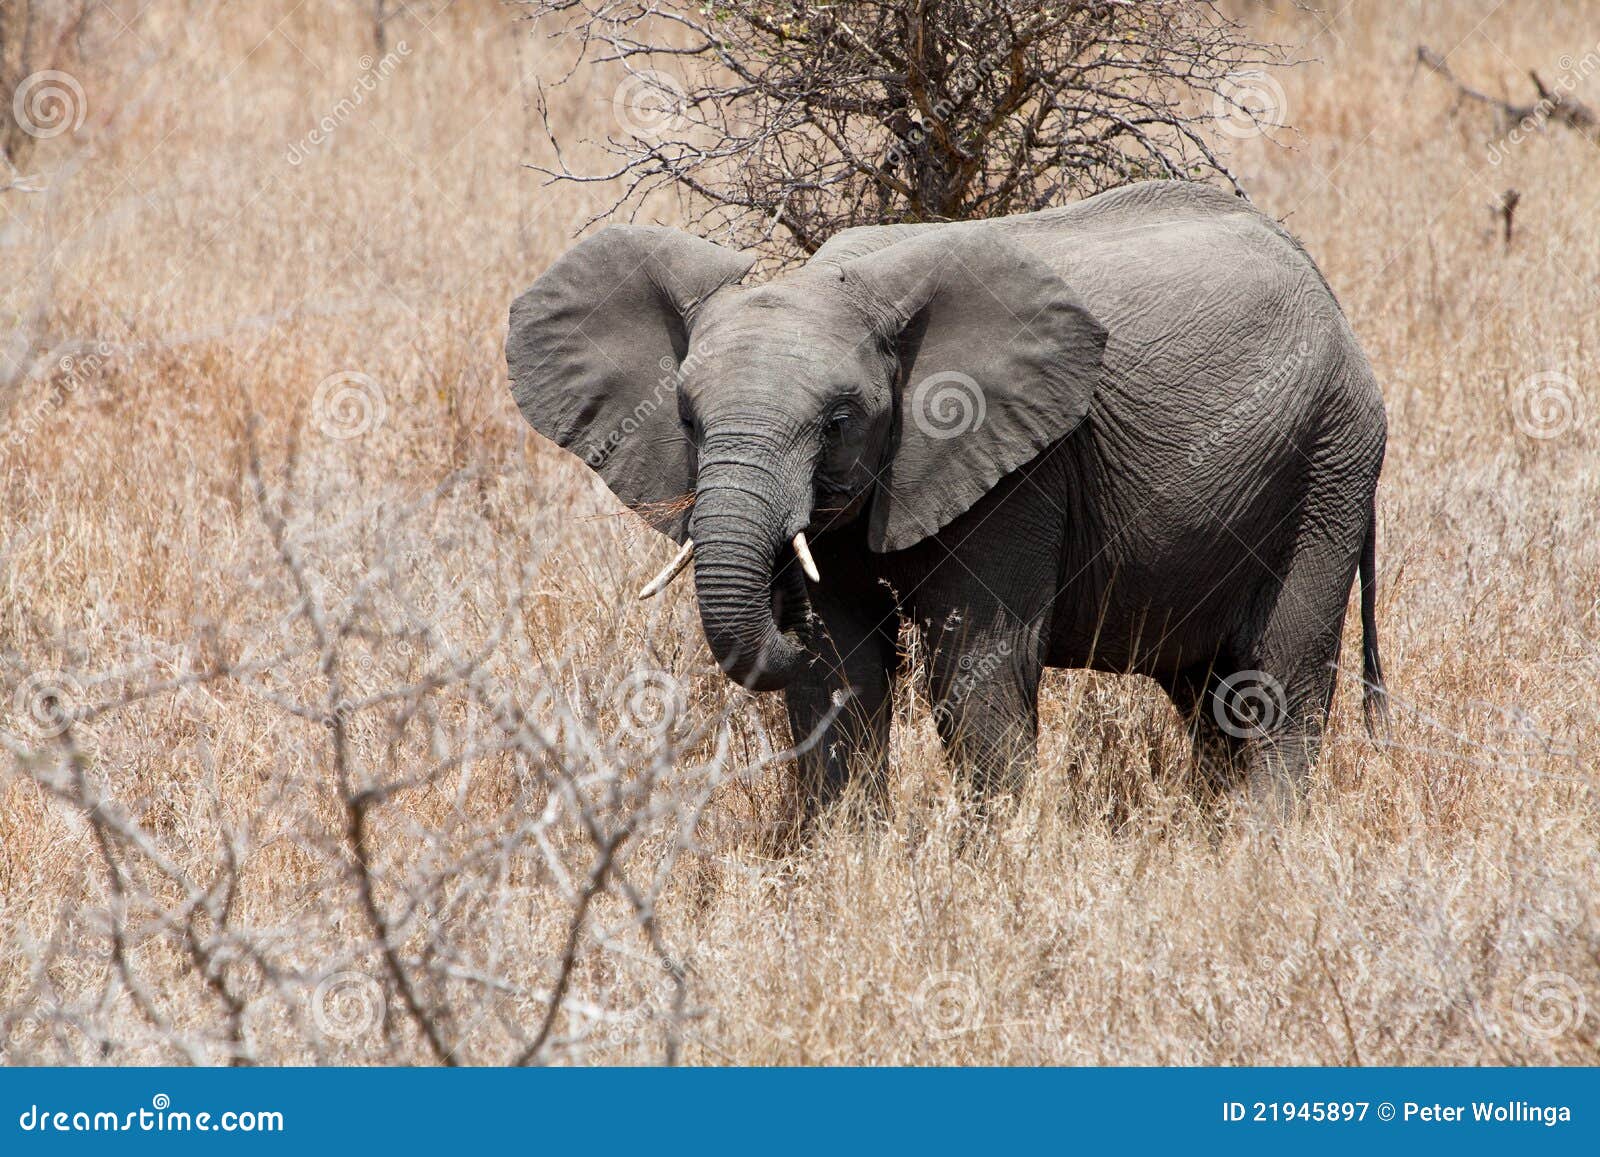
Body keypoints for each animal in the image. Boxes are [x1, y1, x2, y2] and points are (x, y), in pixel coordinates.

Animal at [505, 180, 1388, 813]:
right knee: (1209, 692)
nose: (779, 605)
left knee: (1279, 678)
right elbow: (839, 674)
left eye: (836, 421)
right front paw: (844, 868)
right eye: (687, 419)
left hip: (1329, 462)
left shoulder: (1021, 471)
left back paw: (1260, 847)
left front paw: (994, 871)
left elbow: (976, 672)